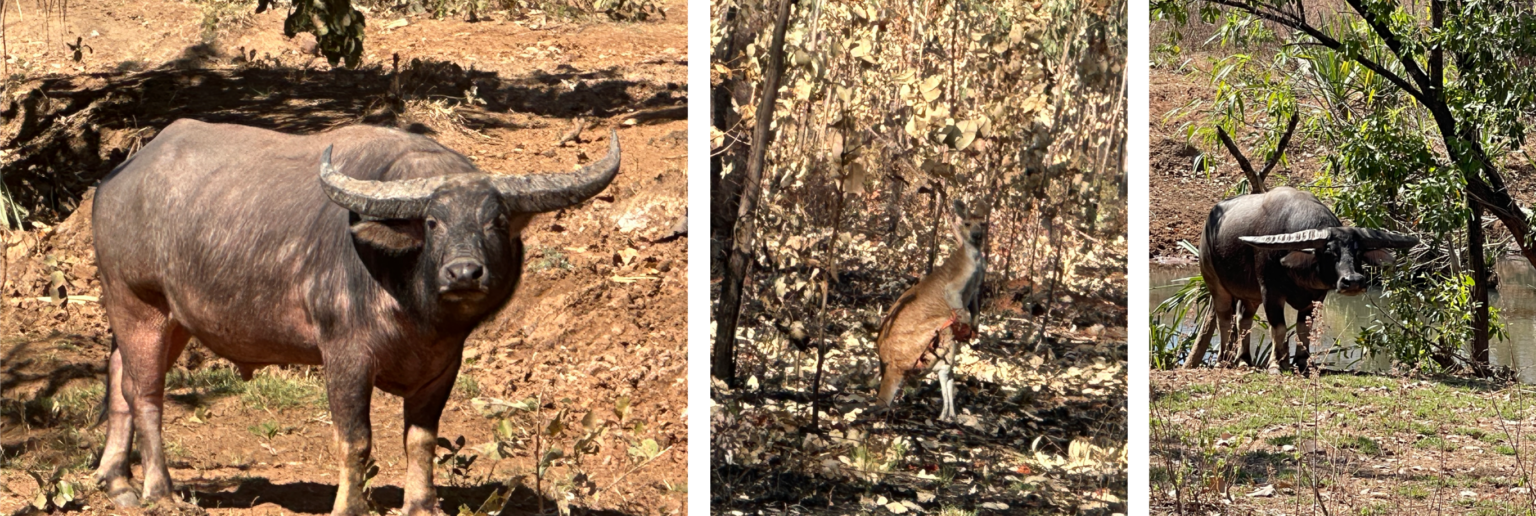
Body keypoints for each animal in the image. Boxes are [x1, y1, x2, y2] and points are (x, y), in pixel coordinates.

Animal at [90, 119, 619, 515]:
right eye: (433, 222)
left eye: (497, 221)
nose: (464, 273)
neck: (413, 307)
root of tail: (116, 181)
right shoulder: (345, 356)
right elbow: (356, 440)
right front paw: (351, 505)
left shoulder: (443, 367)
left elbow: (421, 441)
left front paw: (421, 504)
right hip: (139, 303)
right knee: (146, 394)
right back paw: (158, 490)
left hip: (173, 318)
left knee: (118, 375)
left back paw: (116, 481)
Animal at [1186, 186, 1417, 373]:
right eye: (1329, 252)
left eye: (1358, 252)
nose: (1353, 281)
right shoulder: (1270, 292)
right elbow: (1278, 328)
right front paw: (1276, 365)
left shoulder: (1315, 298)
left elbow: (1303, 329)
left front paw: (1302, 362)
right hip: (1215, 284)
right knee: (1224, 319)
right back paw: (1223, 360)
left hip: (1250, 295)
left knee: (1243, 319)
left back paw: (1244, 360)